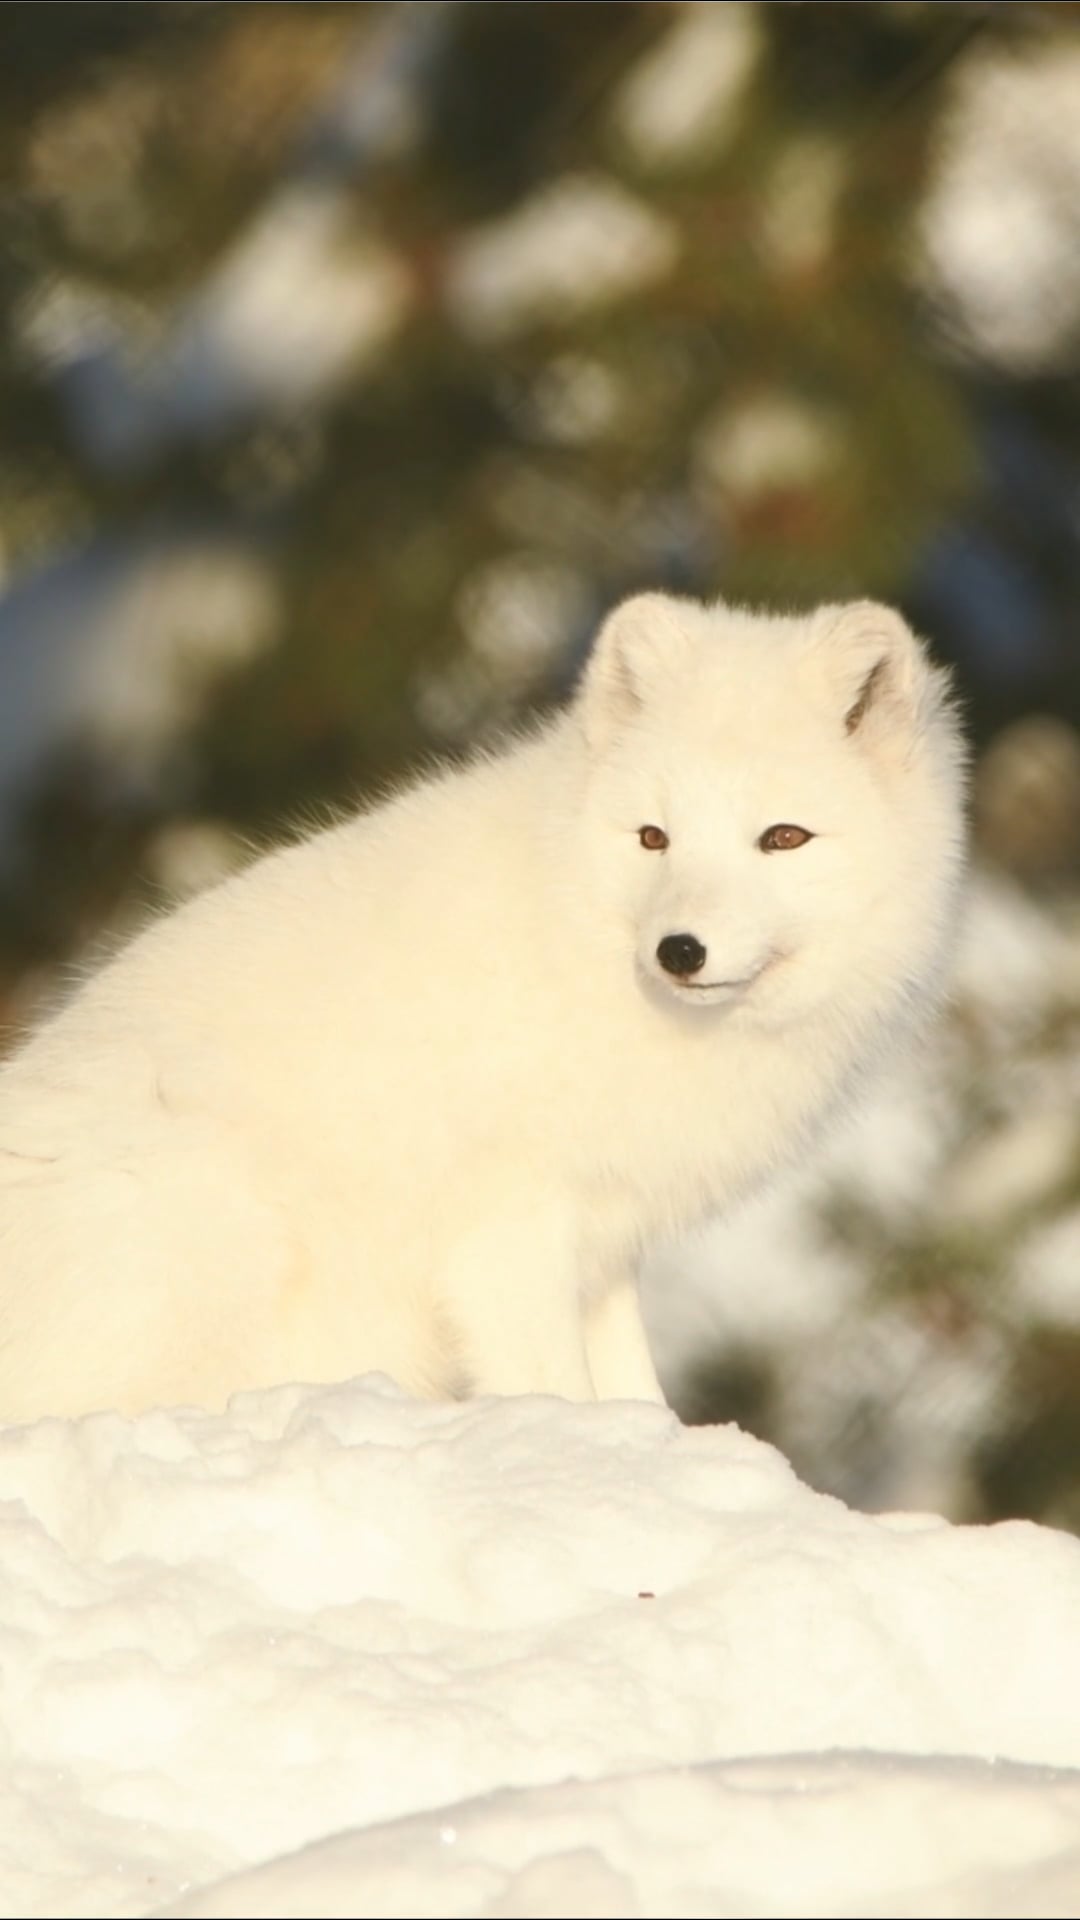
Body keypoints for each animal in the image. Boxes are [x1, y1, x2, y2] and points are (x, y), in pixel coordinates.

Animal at [0, 592, 965, 1421]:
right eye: (654, 837)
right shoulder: (509, 1231)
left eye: (783, 838)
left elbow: (635, 1394)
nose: (679, 951)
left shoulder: (605, 1243)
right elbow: (559, 1391)